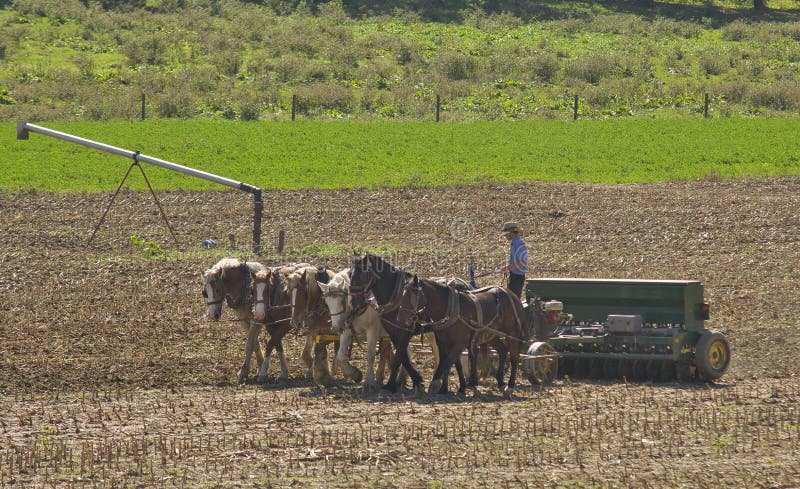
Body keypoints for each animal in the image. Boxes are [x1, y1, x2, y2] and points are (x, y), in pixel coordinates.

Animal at [348, 253, 466, 394]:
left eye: (363, 275)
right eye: (349, 274)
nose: (353, 302)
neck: (396, 296)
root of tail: (460, 283)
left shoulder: (406, 332)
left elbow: (398, 357)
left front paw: (390, 385)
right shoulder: (393, 332)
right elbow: (403, 357)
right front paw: (416, 380)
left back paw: (442, 384)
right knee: (452, 356)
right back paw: (456, 385)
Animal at [396, 274, 528, 395]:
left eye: (413, 293)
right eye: (402, 293)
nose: (400, 319)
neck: (450, 310)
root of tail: (512, 294)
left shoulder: (459, 344)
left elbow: (447, 363)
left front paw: (442, 388)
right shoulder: (444, 343)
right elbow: (453, 364)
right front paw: (460, 387)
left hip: (512, 333)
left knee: (514, 357)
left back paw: (510, 386)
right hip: (491, 335)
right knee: (503, 350)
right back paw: (500, 381)